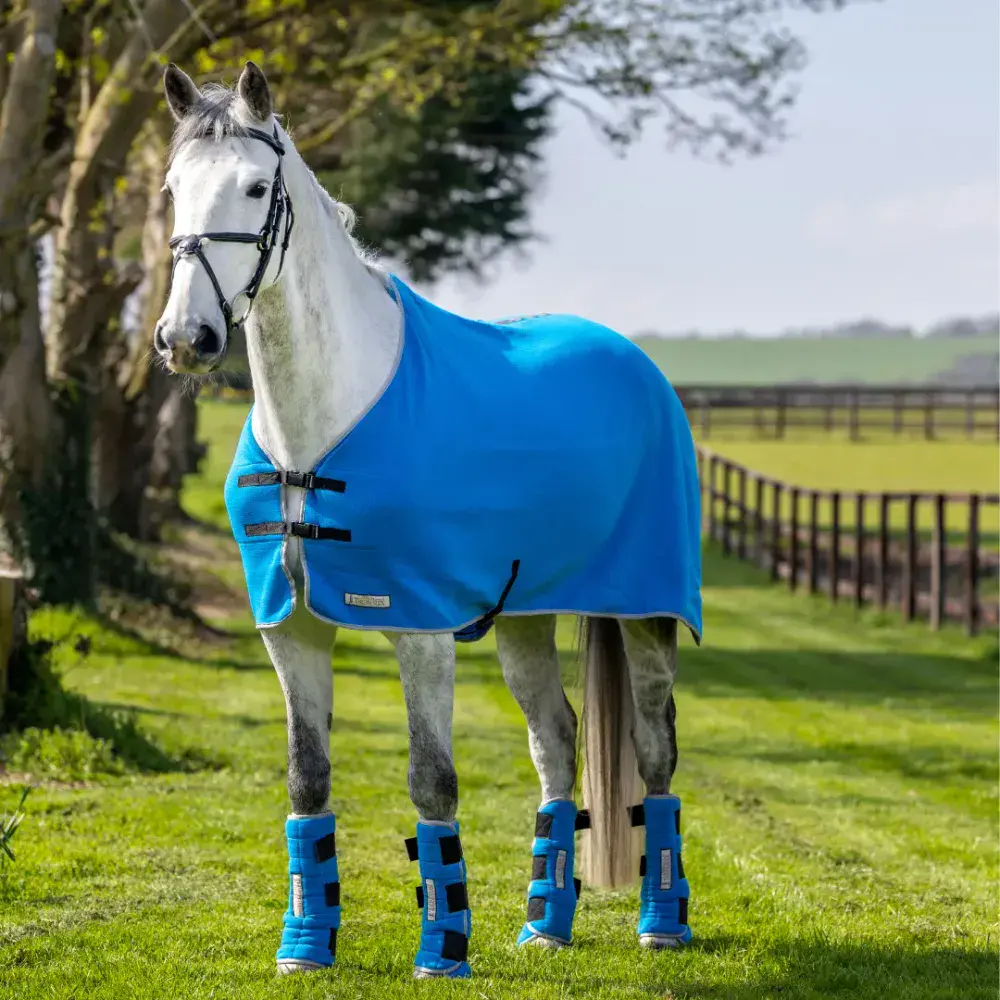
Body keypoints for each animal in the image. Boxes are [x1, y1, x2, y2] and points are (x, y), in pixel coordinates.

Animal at [153, 60, 702, 979]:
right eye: (172, 190)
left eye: (257, 187)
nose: (185, 338)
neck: (319, 425)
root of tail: (638, 363)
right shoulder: (290, 631)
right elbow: (307, 779)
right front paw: (306, 943)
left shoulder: (418, 629)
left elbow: (431, 781)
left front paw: (442, 950)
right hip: (525, 616)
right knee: (556, 742)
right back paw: (544, 926)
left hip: (646, 610)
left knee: (655, 751)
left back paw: (662, 923)